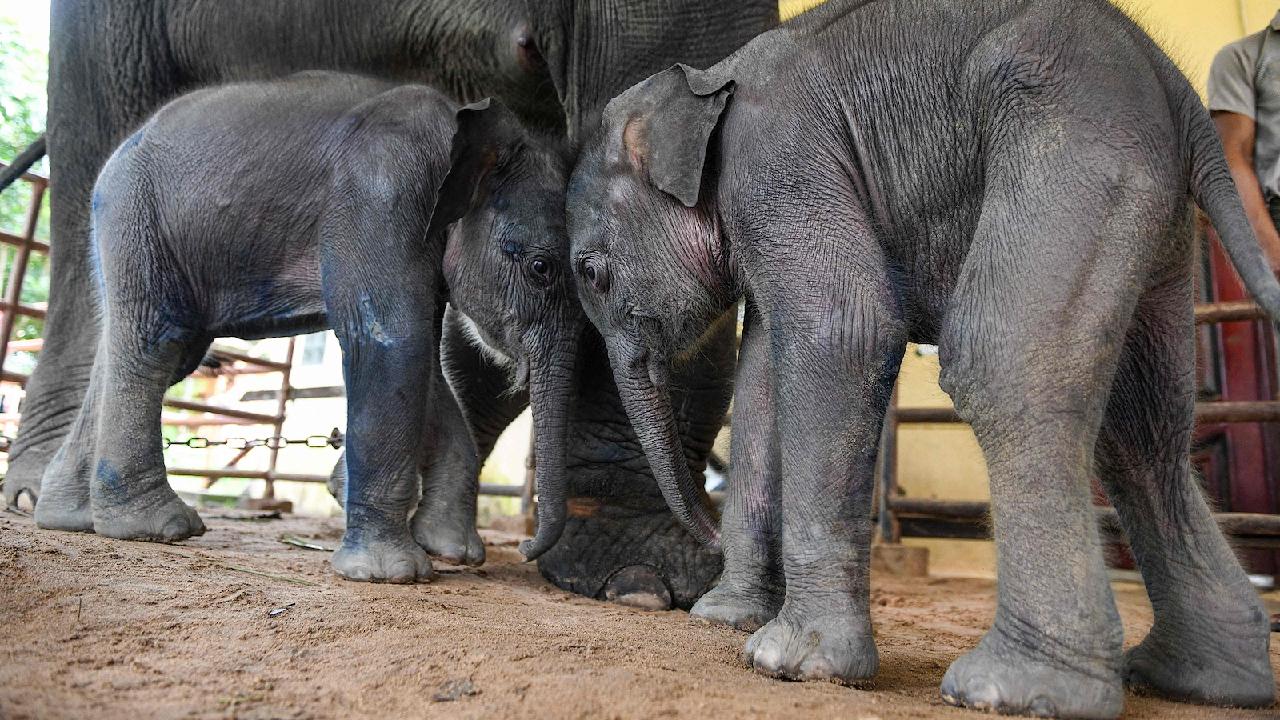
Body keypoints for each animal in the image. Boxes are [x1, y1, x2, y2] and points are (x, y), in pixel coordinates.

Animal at [33, 71, 581, 584]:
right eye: (541, 268)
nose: (526, 549)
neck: (465, 128)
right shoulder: (381, 194)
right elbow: (391, 340)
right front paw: (389, 574)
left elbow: (424, 362)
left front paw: (452, 551)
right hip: (135, 215)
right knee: (159, 342)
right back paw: (158, 528)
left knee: (145, 349)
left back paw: (69, 518)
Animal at [566, 0, 1279, 717]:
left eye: (590, 272)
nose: (704, 540)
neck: (708, 79)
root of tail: (1175, 86)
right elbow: (763, 377)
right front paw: (725, 620)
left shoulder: (780, 161)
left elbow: (842, 330)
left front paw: (787, 662)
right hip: (1152, 205)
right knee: (1140, 431)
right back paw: (1196, 678)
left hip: (1075, 141)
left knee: (1000, 361)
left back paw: (1010, 690)